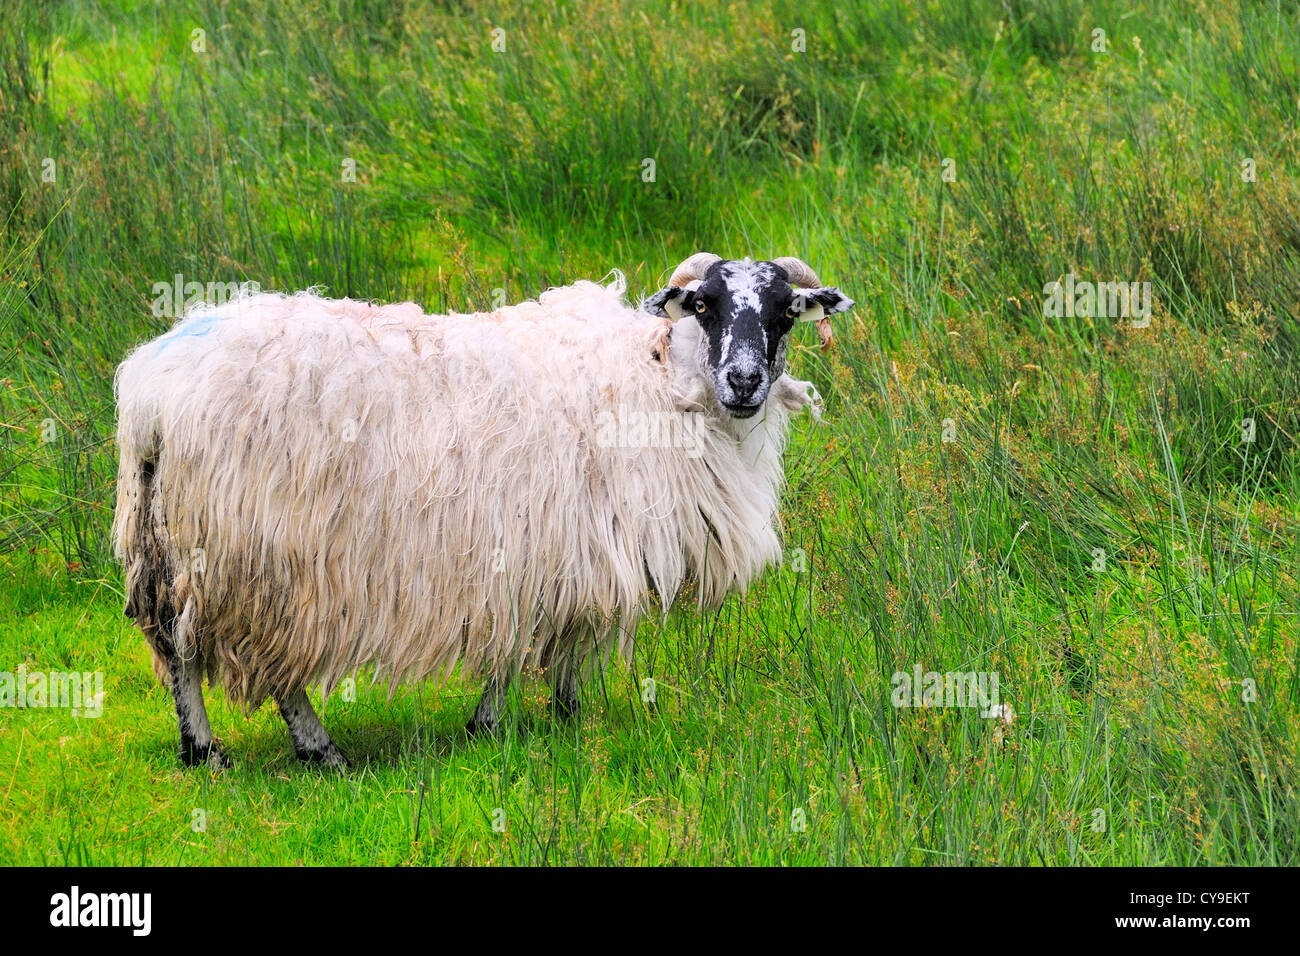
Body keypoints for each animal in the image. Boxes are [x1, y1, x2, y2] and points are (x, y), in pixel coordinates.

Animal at [112, 253, 855, 768]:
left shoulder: (540, 553)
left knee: (171, 640)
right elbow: (552, 645)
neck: (662, 381)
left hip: (168, 539)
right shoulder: (566, 547)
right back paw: (297, 750)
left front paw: (533, 720)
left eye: (785, 311)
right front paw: (536, 720)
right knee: (245, 663)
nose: (745, 381)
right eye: (704, 304)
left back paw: (207, 750)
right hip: (256, 560)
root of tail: (154, 388)